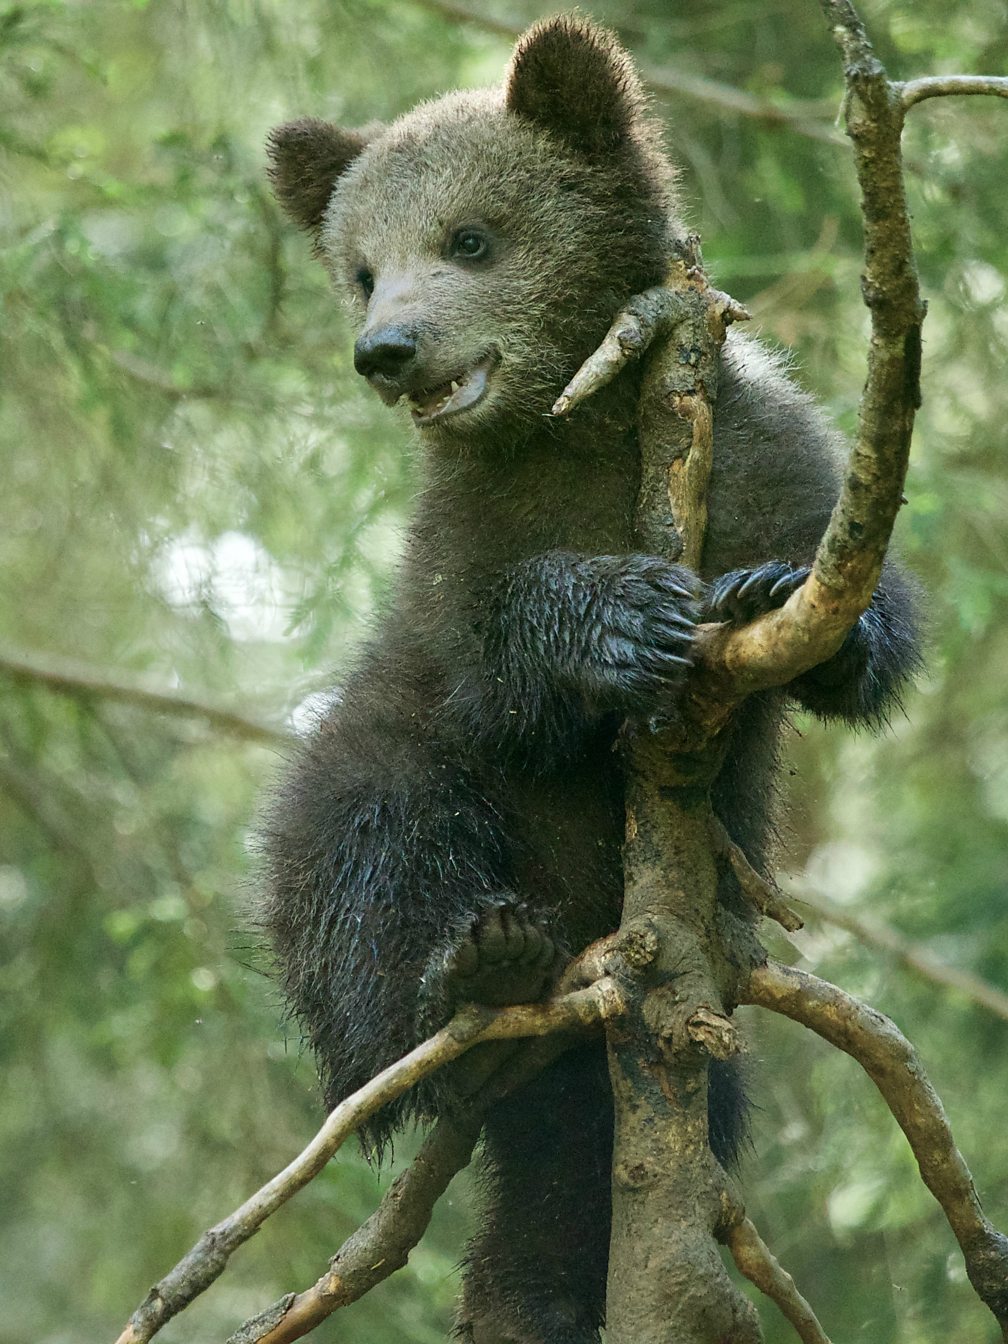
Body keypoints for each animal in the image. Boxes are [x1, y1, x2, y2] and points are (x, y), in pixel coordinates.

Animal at [262, 15, 920, 1344]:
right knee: (362, 849)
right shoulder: (463, 541)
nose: (387, 351)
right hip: (395, 786)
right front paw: (619, 619)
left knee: (585, 1168)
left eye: (469, 237)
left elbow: (852, 601)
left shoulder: (772, 456)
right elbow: (486, 656)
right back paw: (475, 970)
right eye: (361, 267)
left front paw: (770, 599)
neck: (588, 425)